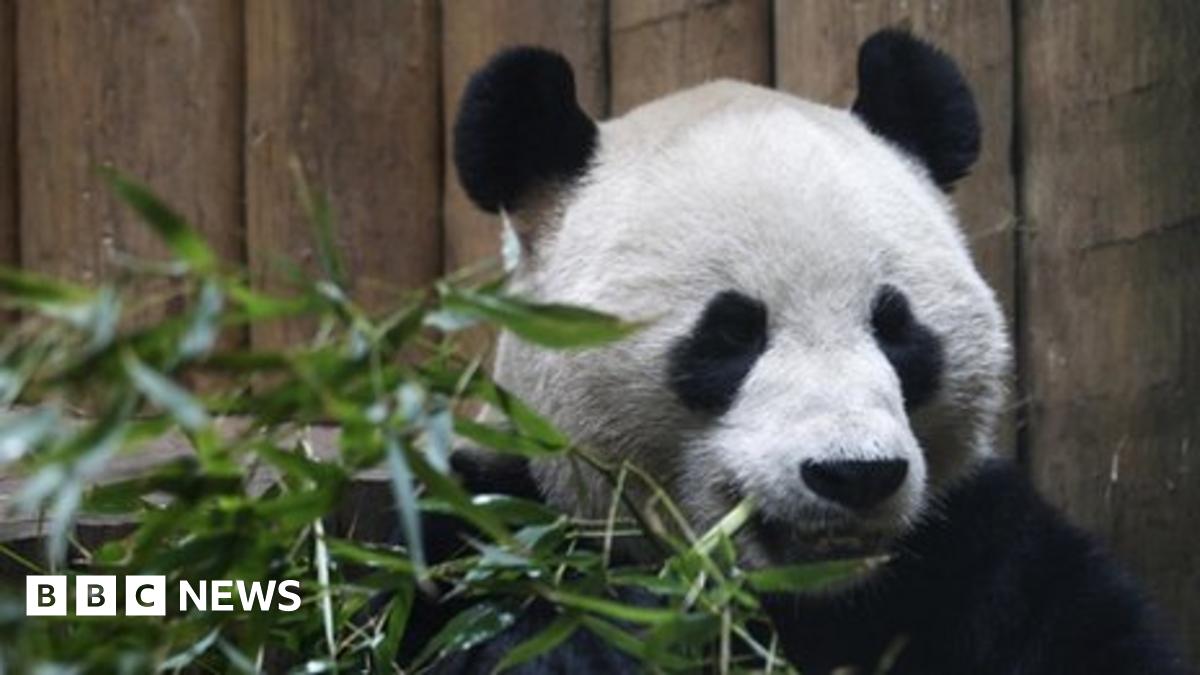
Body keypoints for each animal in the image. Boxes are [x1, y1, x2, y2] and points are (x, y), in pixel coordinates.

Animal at [406, 30, 1187, 675]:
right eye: (731, 333)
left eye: (896, 327)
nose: (854, 474)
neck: (811, 597)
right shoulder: (486, 523)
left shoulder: (981, 549)